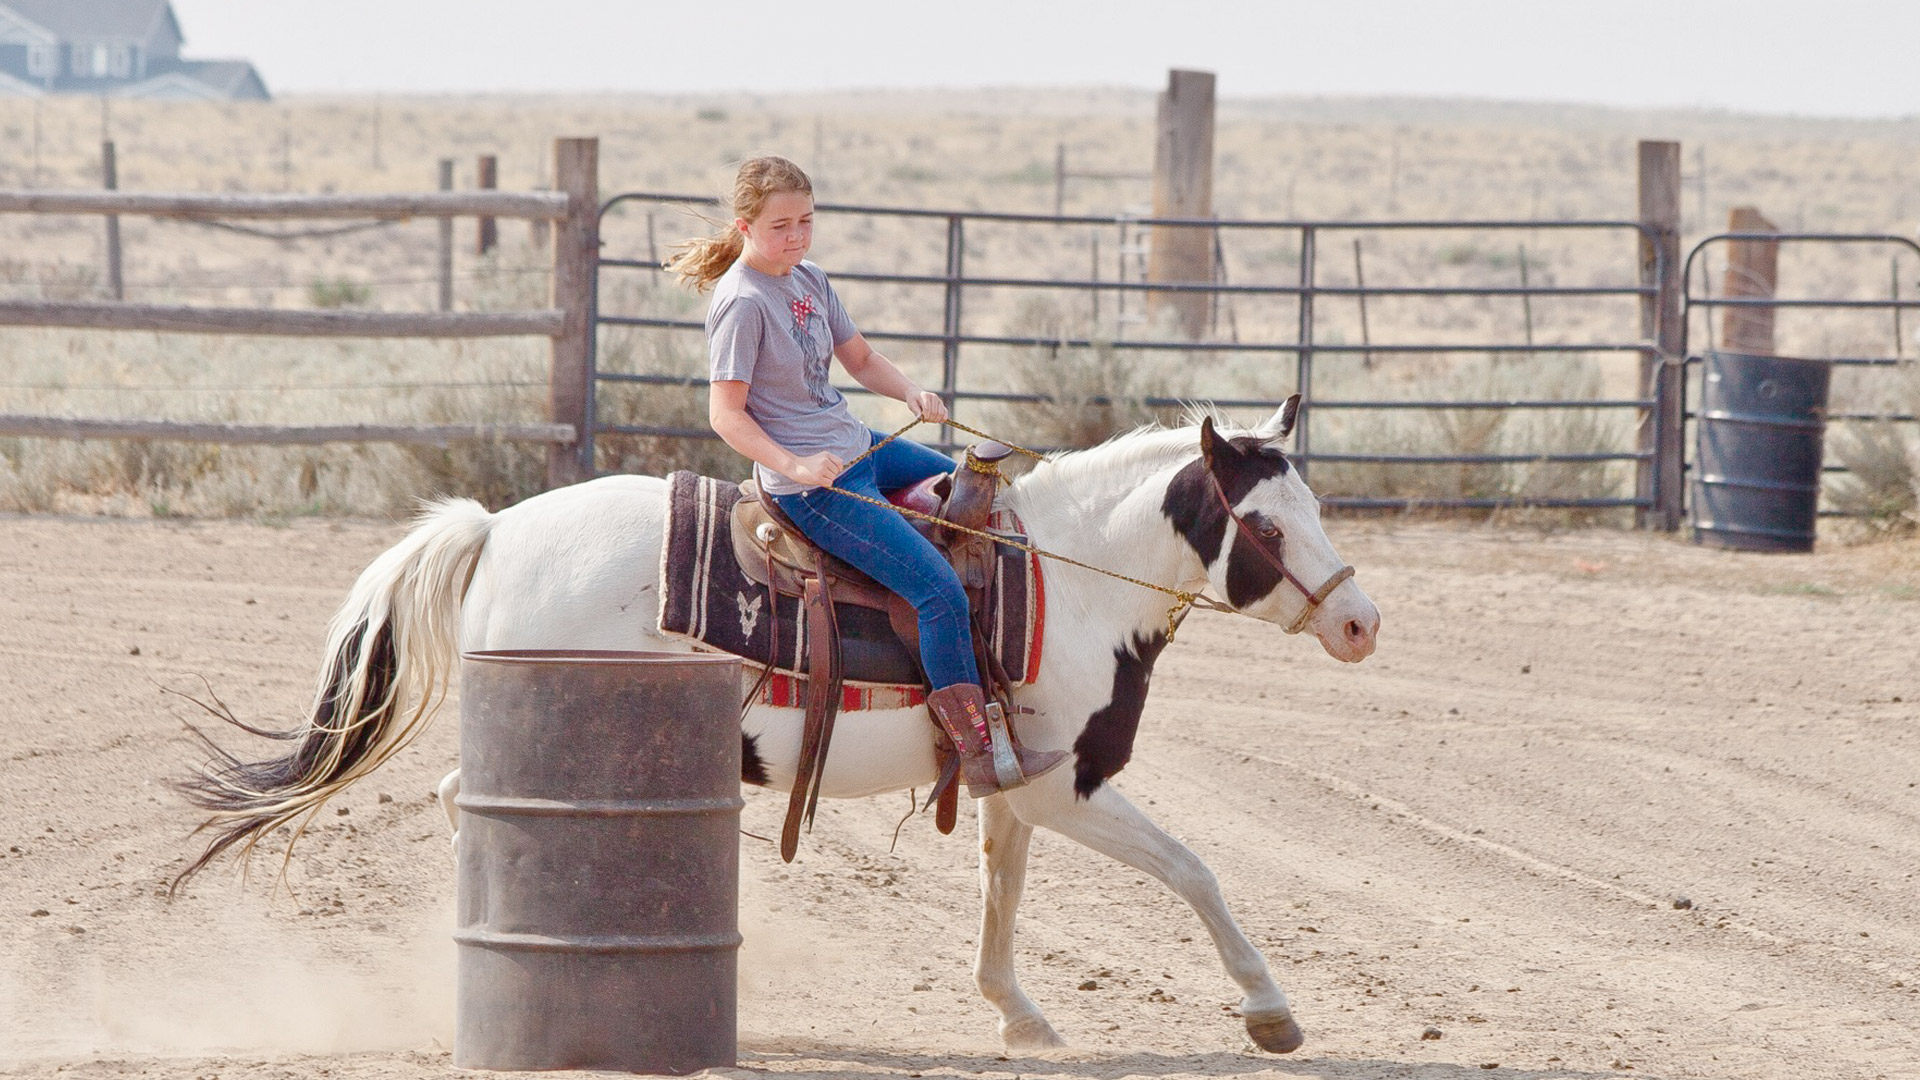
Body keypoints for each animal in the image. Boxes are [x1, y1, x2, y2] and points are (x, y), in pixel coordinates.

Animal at [176, 395, 1380, 1055]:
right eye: (1269, 525)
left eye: (1320, 506)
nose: (1363, 622)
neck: (1070, 580)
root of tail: (496, 529)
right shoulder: (1065, 782)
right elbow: (1194, 872)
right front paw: (1270, 1010)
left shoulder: (1012, 781)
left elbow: (1002, 895)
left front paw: (1018, 1017)